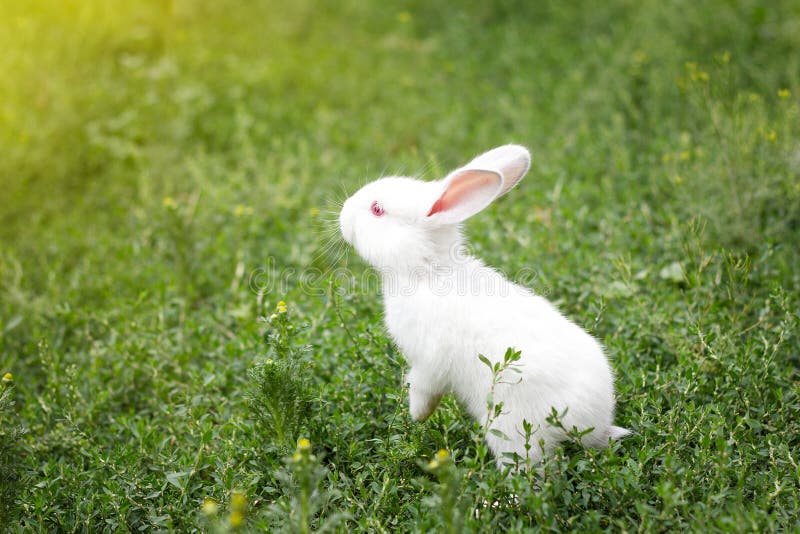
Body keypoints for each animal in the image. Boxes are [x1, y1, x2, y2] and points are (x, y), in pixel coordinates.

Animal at [339, 145, 629, 467]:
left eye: (377, 209)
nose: (343, 212)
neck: (428, 270)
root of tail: (592, 423)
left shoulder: (429, 361)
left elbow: (423, 389)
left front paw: (417, 416)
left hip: (514, 431)